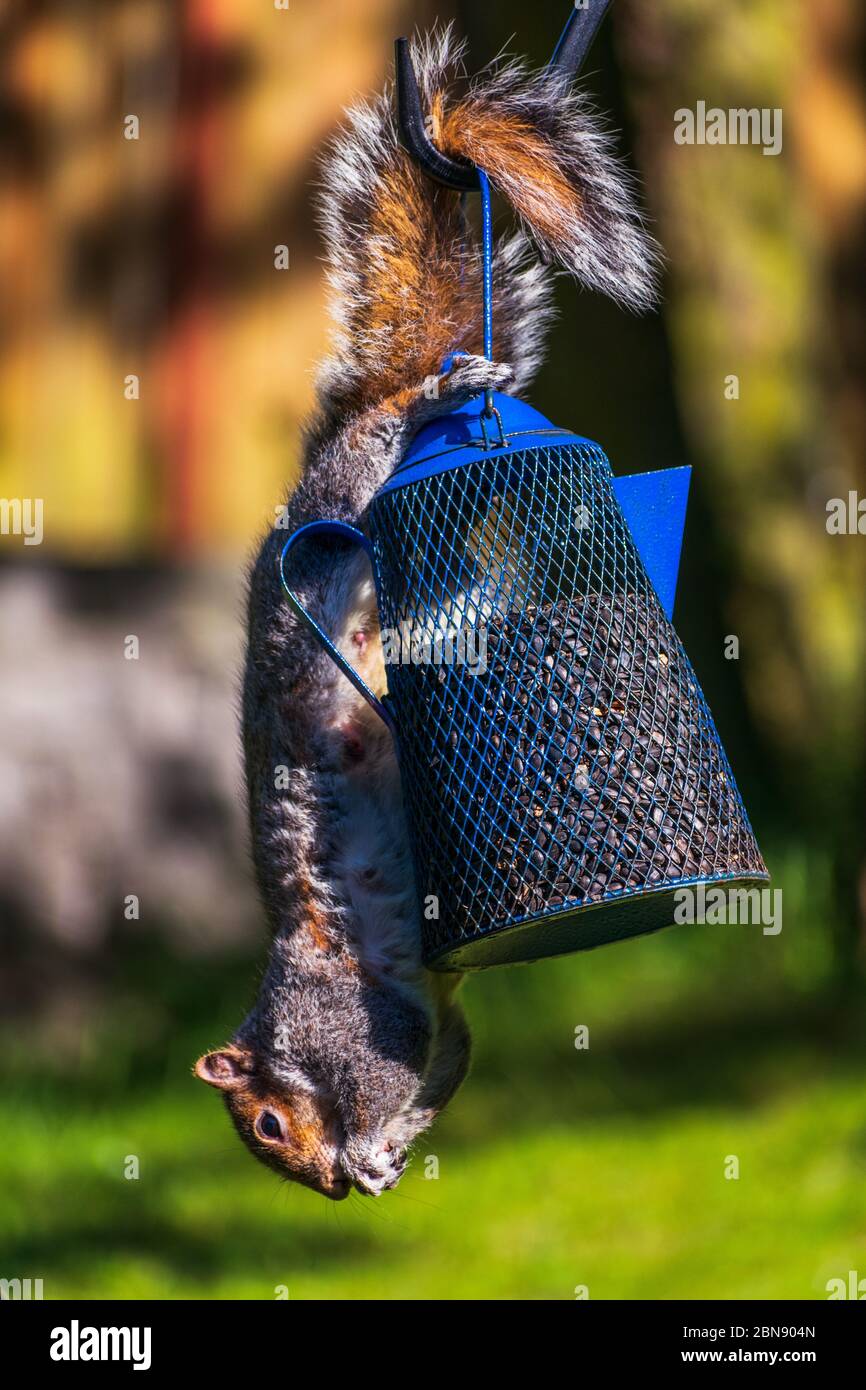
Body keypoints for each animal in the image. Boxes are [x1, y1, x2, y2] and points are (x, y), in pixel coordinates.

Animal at [194, 25, 660, 1200]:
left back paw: (445, 390)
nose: (319, 1187)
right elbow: (447, 1068)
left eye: (267, 1124)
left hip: (354, 496)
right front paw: (389, 1158)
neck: (289, 1030)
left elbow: (382, 1074)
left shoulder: (358, 1024)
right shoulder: (442, 1028)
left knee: (398, 428)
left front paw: (364, 1146)